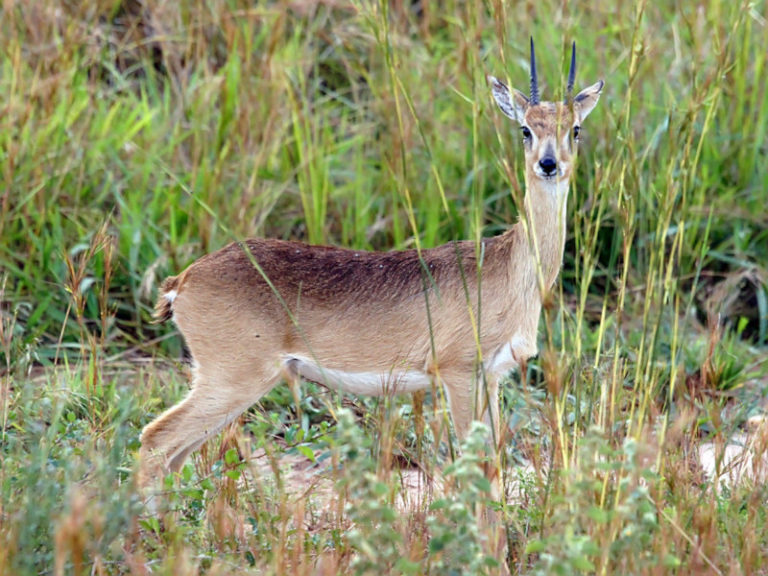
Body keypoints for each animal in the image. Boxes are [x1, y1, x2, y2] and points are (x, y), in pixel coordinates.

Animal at [138, 39, 603, 492]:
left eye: (574, 129)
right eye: (526, 128)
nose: (549, 164)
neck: (509, 268)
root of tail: (183, 280)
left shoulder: (490, 376)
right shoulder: (458, 373)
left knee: (172, 455)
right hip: (233, 379)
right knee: (154, 441)